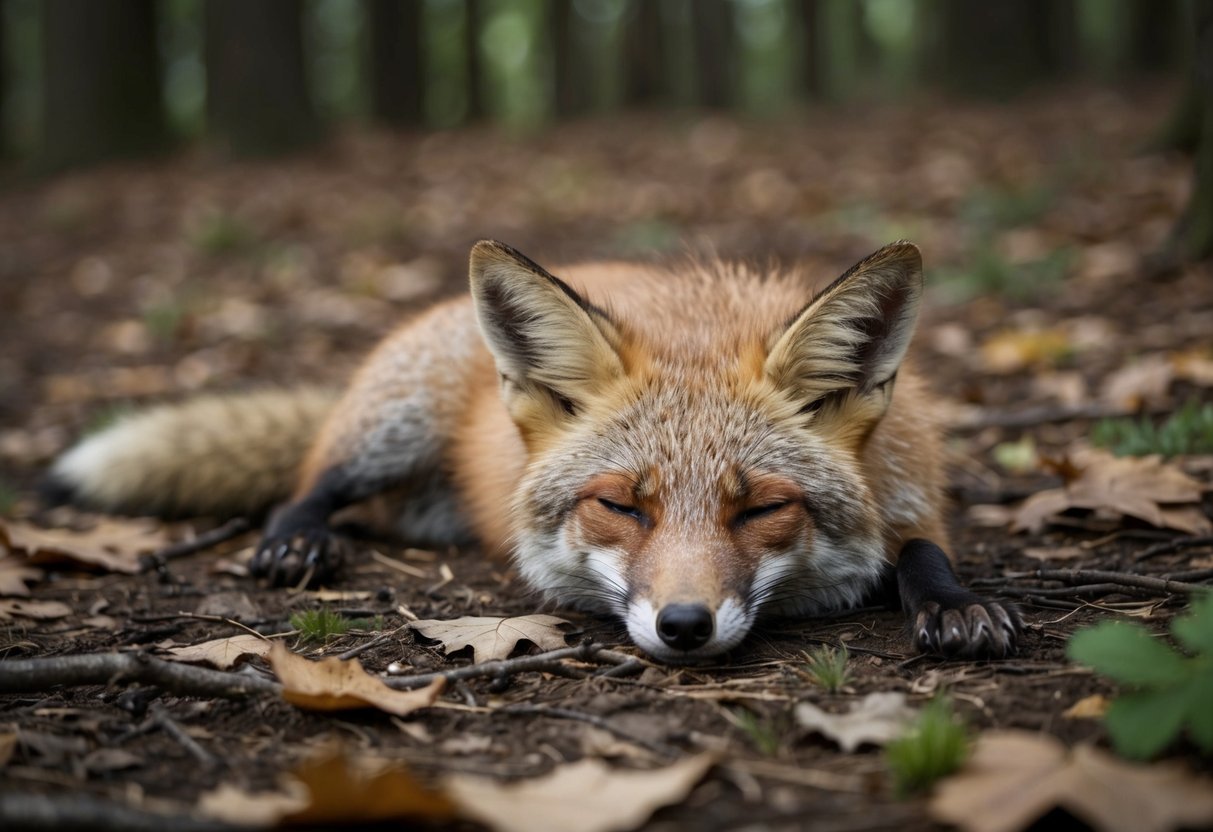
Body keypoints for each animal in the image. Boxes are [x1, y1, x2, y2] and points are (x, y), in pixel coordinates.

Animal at [47, 240, 1020, 662]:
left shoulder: (910, 481)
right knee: (304, 484)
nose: (683, 626)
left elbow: (920, 547)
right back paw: (297, 539)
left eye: (762, 508)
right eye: (620, 505)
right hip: (387, 428)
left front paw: (952, 603)